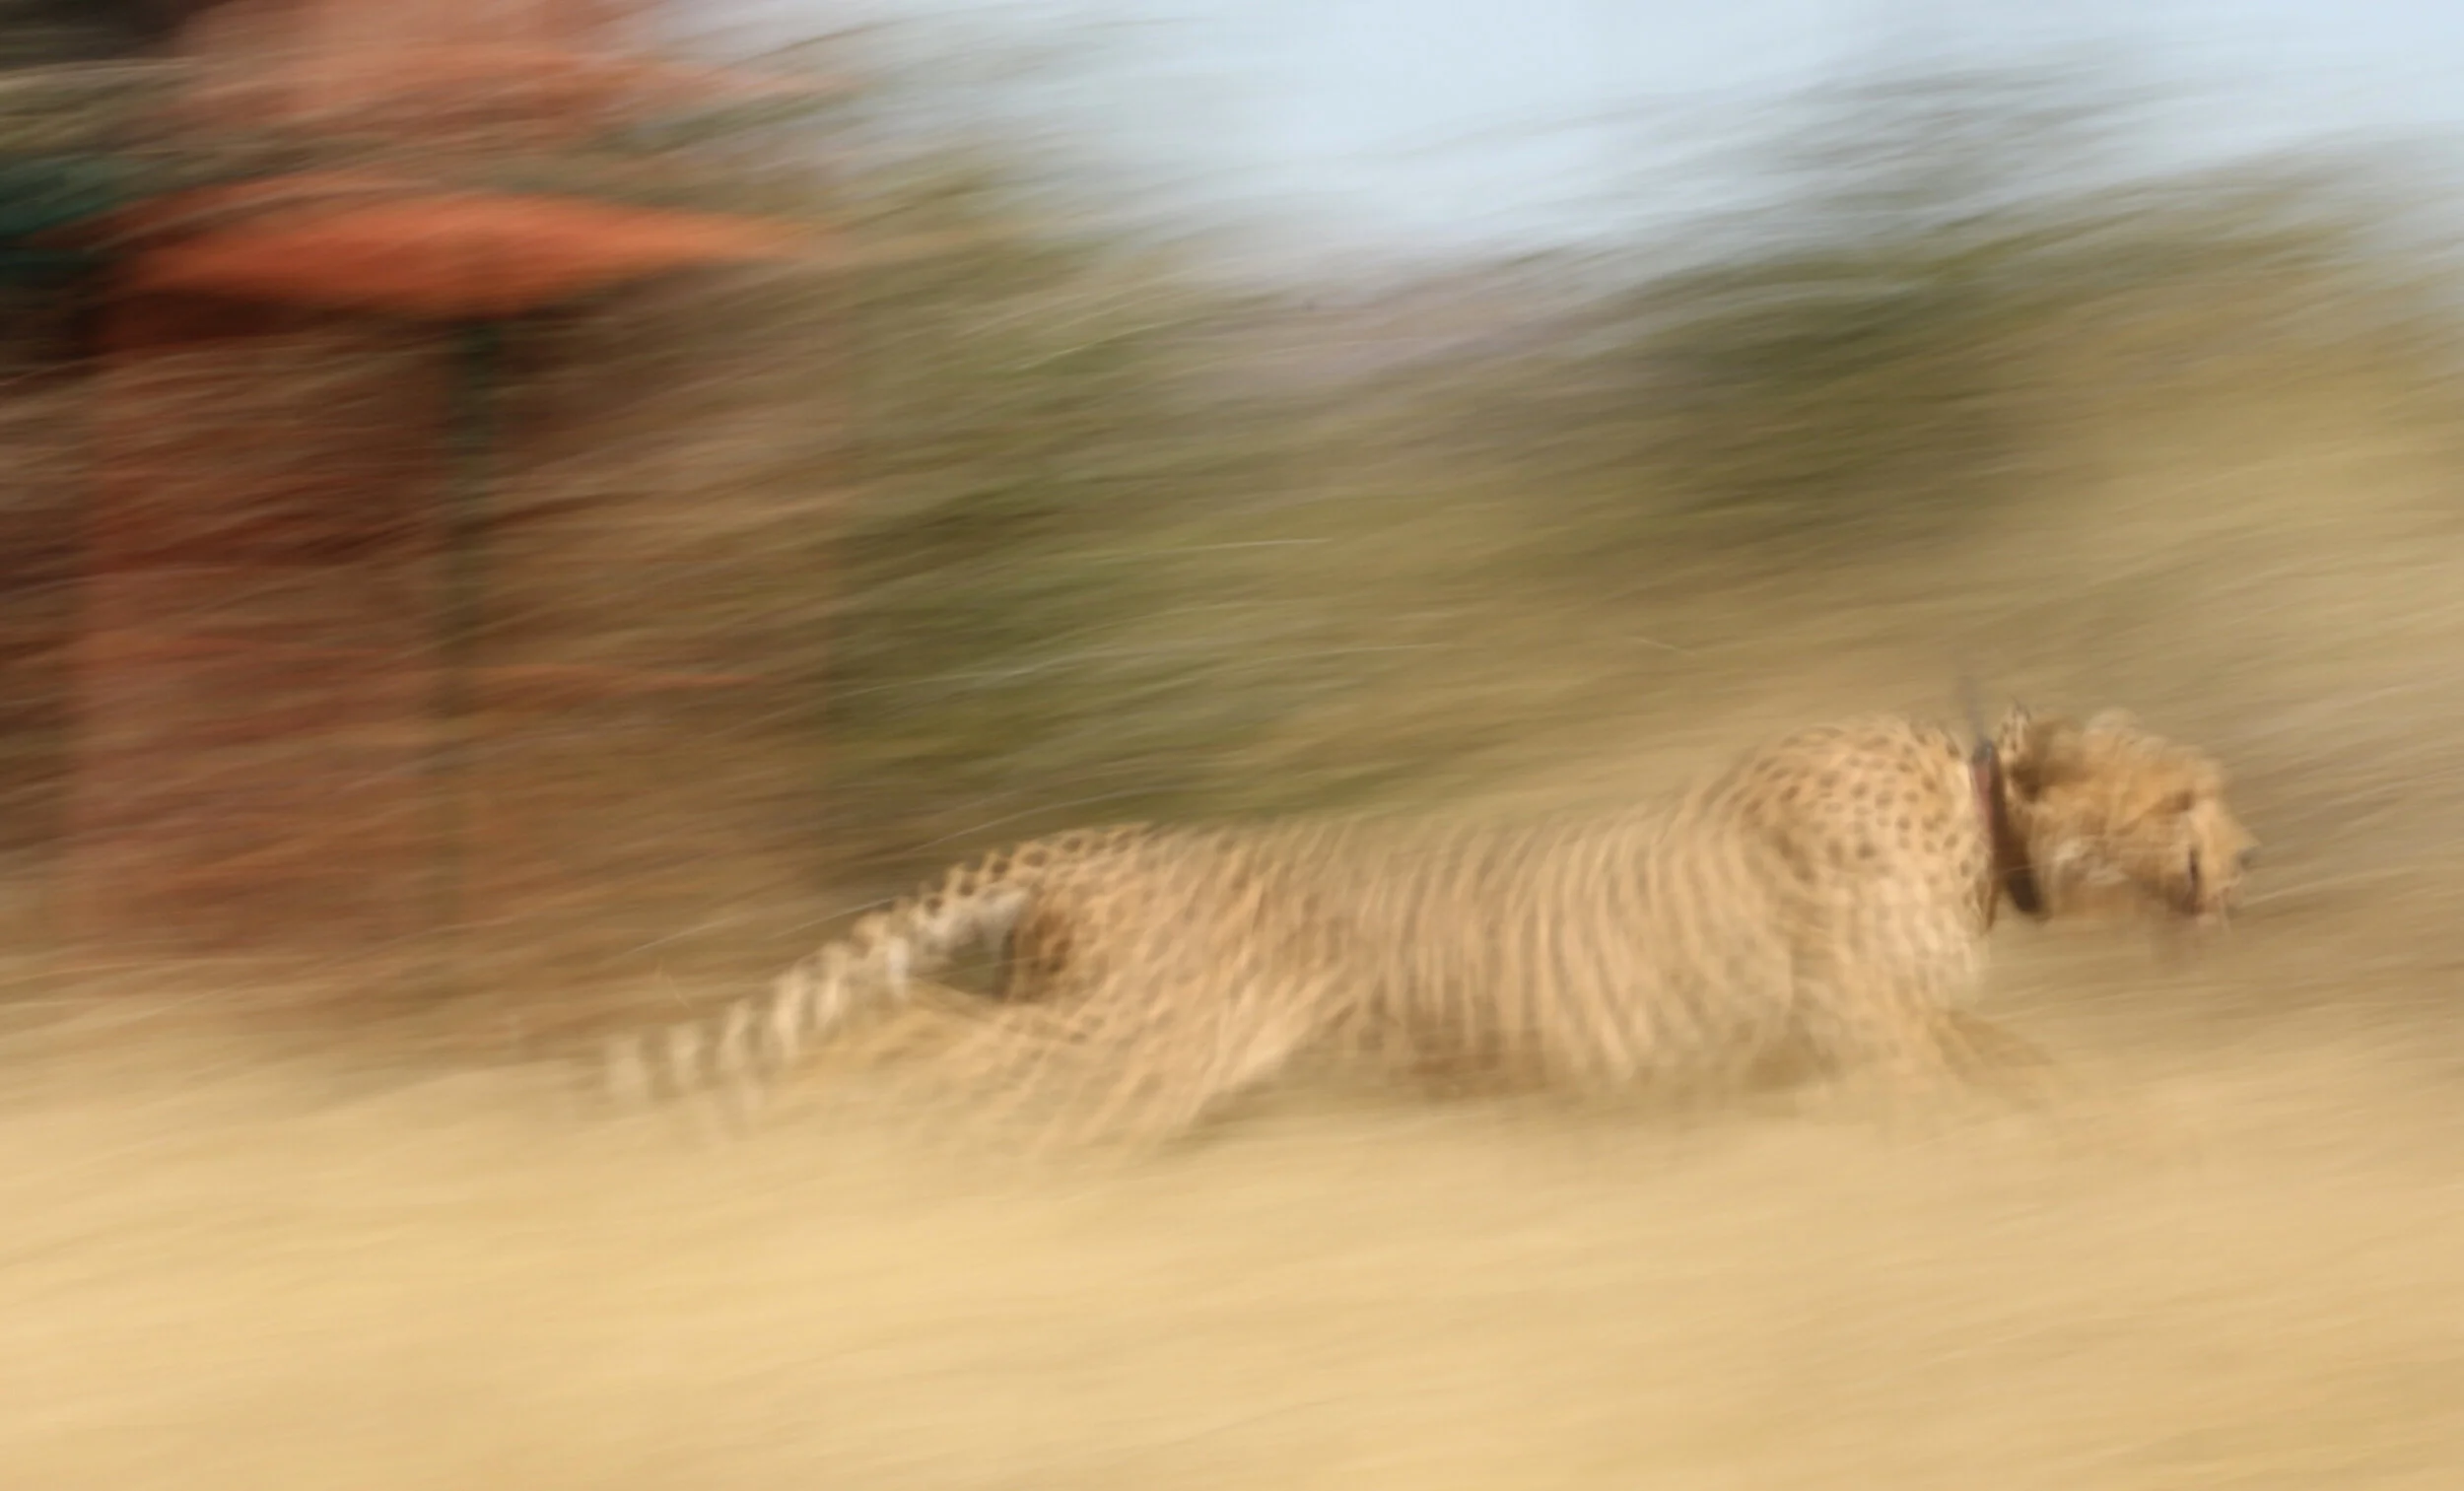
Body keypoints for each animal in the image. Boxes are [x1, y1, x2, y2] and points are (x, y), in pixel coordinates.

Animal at [600, 703, 2257, 1146]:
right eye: (2195, 791)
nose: (2252, 855)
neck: (1985, 820)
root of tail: (1109, 836)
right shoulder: (1858, 1023)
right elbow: (1969, 1089)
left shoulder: (1840, 1038)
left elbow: (2022, 1069)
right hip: (1136, 1046)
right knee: (912, 1039)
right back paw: (836, 1141)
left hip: (1119, 1043)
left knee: (943, 1039)